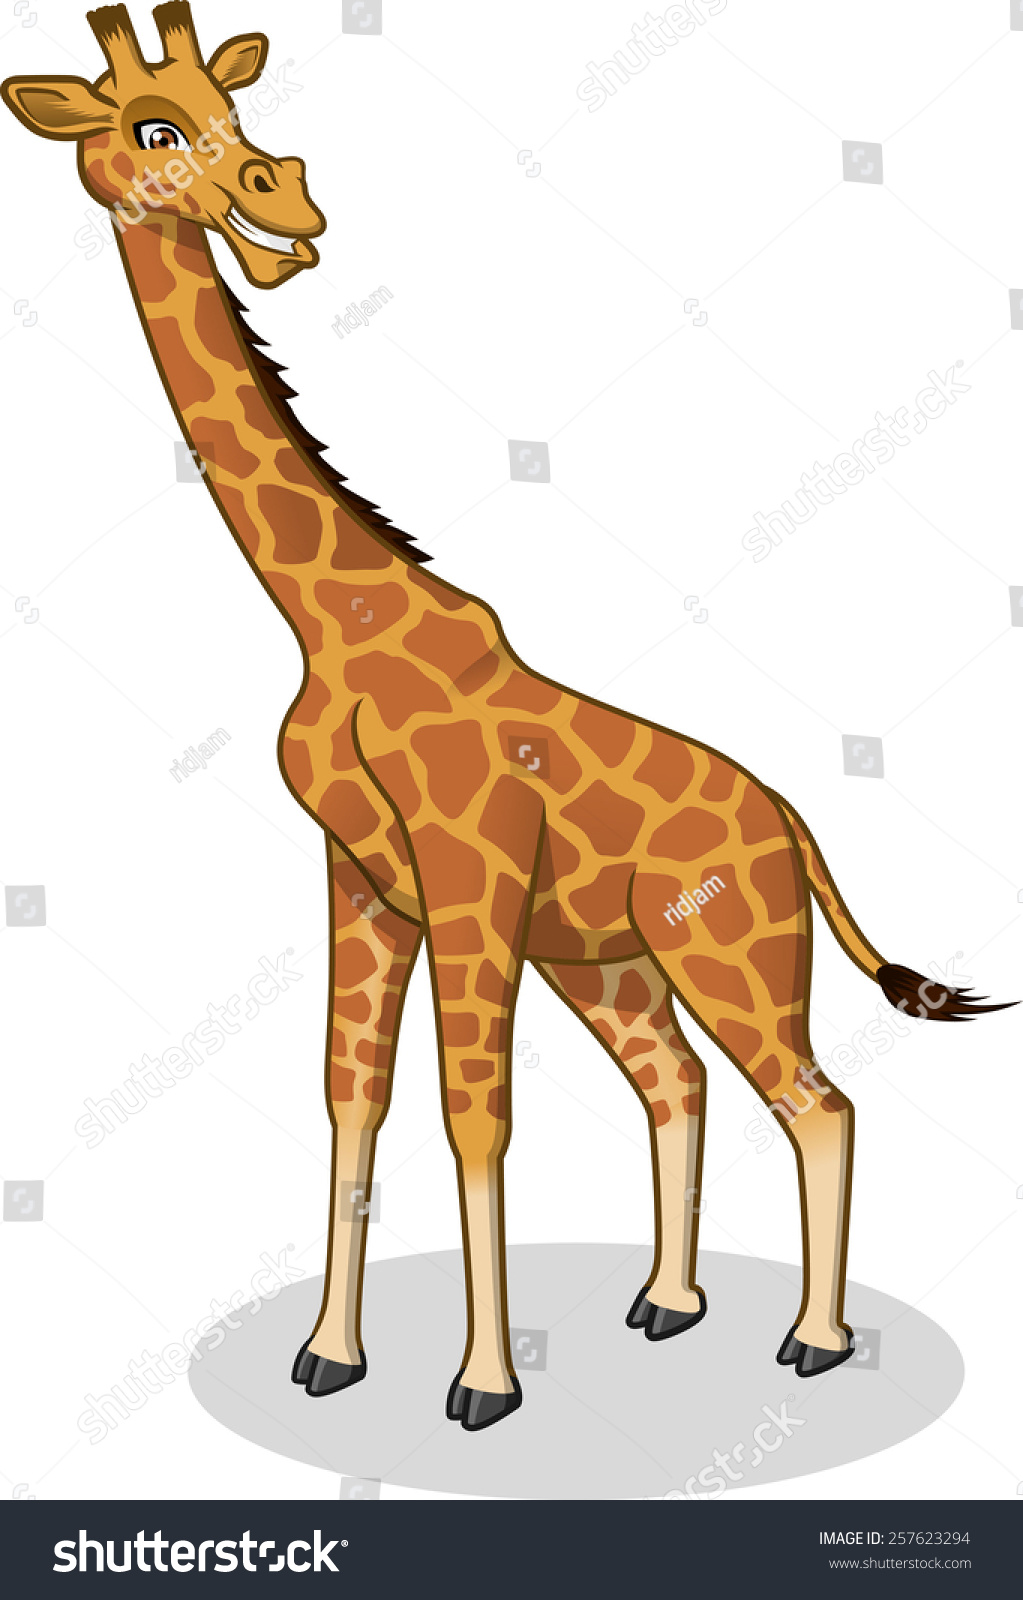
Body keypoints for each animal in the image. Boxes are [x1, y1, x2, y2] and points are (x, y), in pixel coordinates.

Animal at [4, 3, 1011, 1434]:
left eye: (229, 111)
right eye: (151, 128)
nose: (288, 197)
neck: (334, 623)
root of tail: (793, 823)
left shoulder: (465, 871)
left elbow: (469, 1114)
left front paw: (481, 1384)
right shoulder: (361, 875)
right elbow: (350, 1097)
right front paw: (330, 1354)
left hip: (731, 951)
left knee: (818, 1097)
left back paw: (813, 1338)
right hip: (606, 958)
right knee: (679, 1079)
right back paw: (670, 1300)